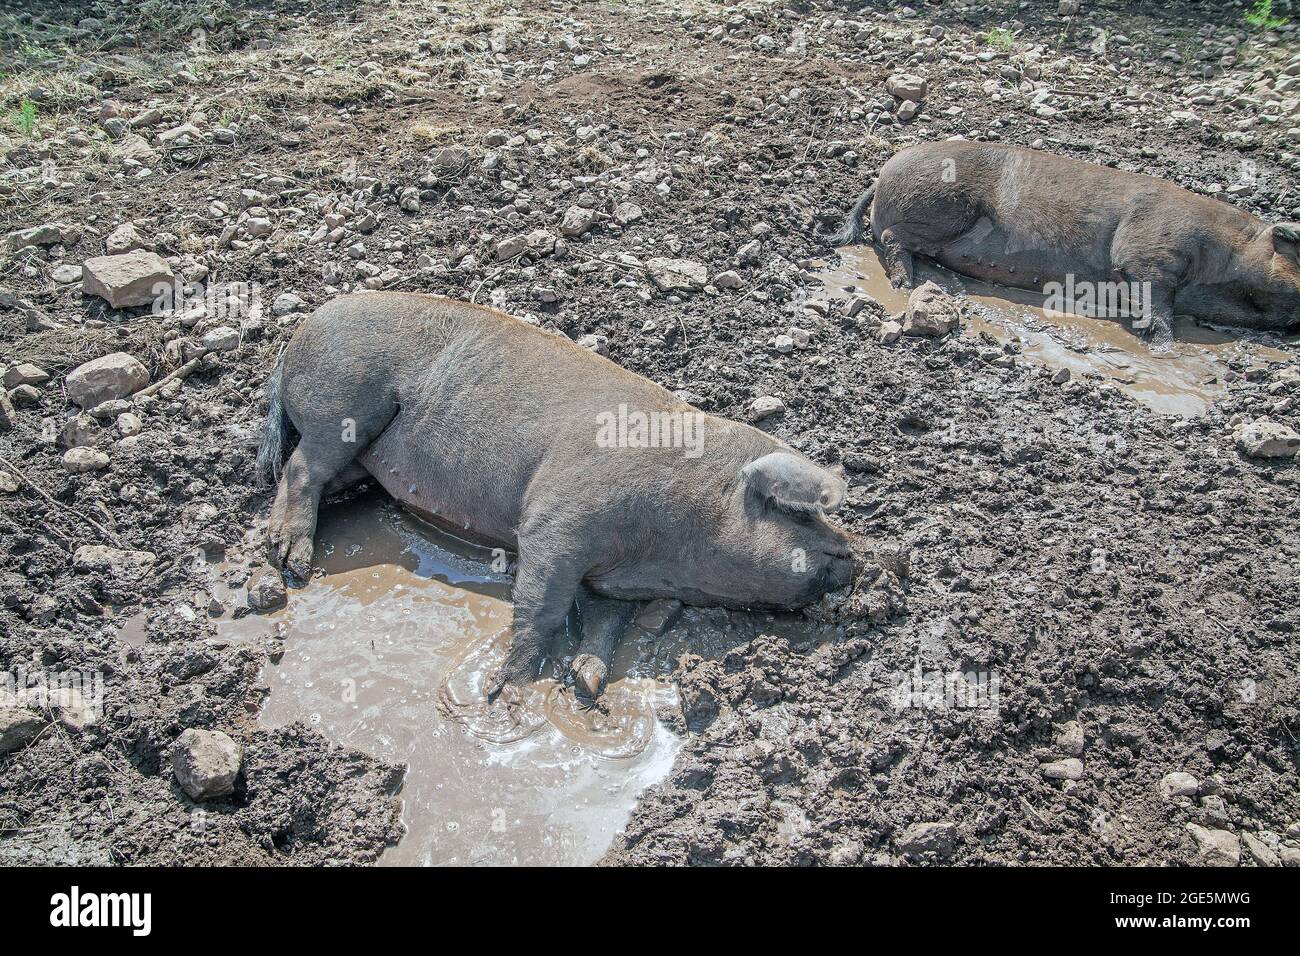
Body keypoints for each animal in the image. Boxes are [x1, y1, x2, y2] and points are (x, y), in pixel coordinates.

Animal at [257, 293, 858, 701]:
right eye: (796, 514)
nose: (857, 554)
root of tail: (300, 332)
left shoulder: (613, 583)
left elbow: (604, 625)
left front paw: (588, 685)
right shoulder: (557, 523)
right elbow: (541, 606)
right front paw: (505, 688)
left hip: (362, 457)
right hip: (343, 403)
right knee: (299, 470)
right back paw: (292, 565)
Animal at [831, 141, 1300, 340]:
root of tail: (884, 173)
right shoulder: (1150, 246)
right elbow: (1153, 290)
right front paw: (1163, 340)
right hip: (940, 202)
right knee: (891, 238)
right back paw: (907, 283)